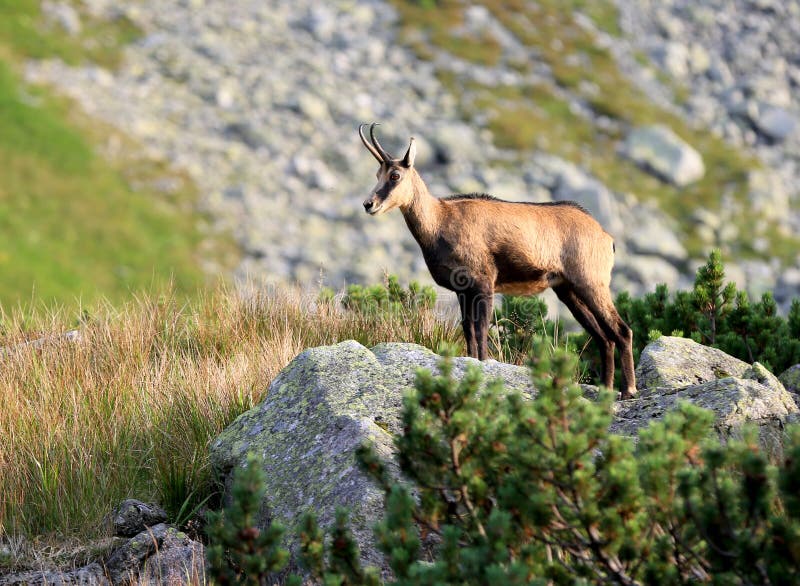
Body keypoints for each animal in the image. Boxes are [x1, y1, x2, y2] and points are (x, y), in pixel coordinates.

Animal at [359, 123, 636, 399]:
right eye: (377, 174)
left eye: (395, 175)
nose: (368, 204)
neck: (441, 221)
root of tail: (605, 236)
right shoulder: (463, 290)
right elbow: (468, 330)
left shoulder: (484, 283)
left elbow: (481, 329)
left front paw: (482, 367)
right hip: (568, 290)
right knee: (603, 337)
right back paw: (607, 389)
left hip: (591, 282)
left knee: (621, 330)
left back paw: (628, 390)